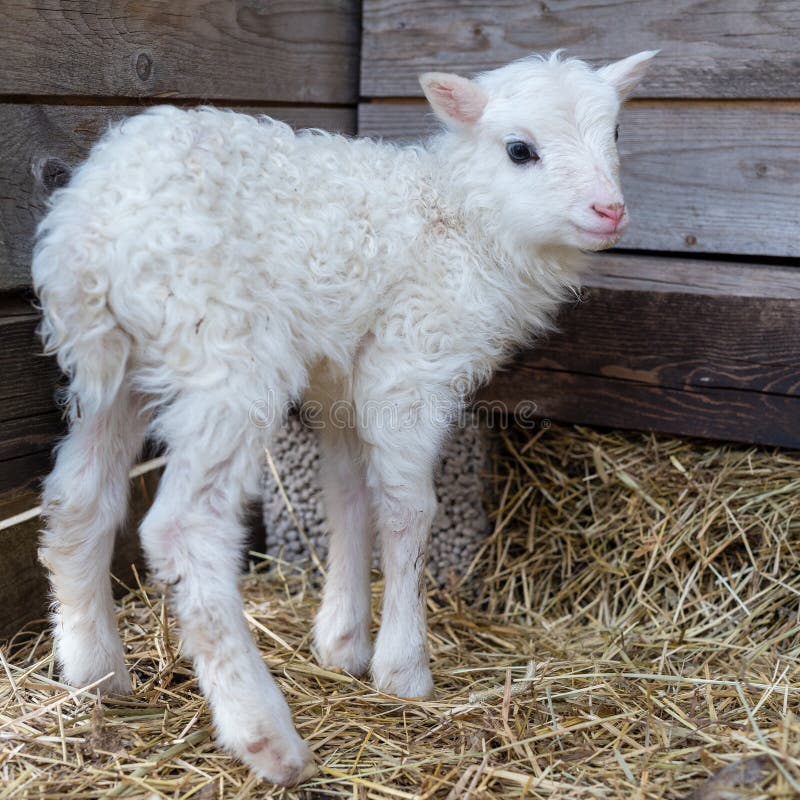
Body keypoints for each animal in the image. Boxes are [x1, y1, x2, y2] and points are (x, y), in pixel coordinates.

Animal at [32, 50, 656, 786]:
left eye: (614, 134)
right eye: (519, 149)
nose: (609, 210)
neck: (459, 217)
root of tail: (86, 231)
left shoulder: (341, 384)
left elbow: (347, 496)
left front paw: (343, 642)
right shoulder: (409, 361)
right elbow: (408, 510)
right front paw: (402, 668)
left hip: (118, 369)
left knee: (78, 499)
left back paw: (96, 672)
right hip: (224, 355)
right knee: (184, 527)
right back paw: (266, 735)